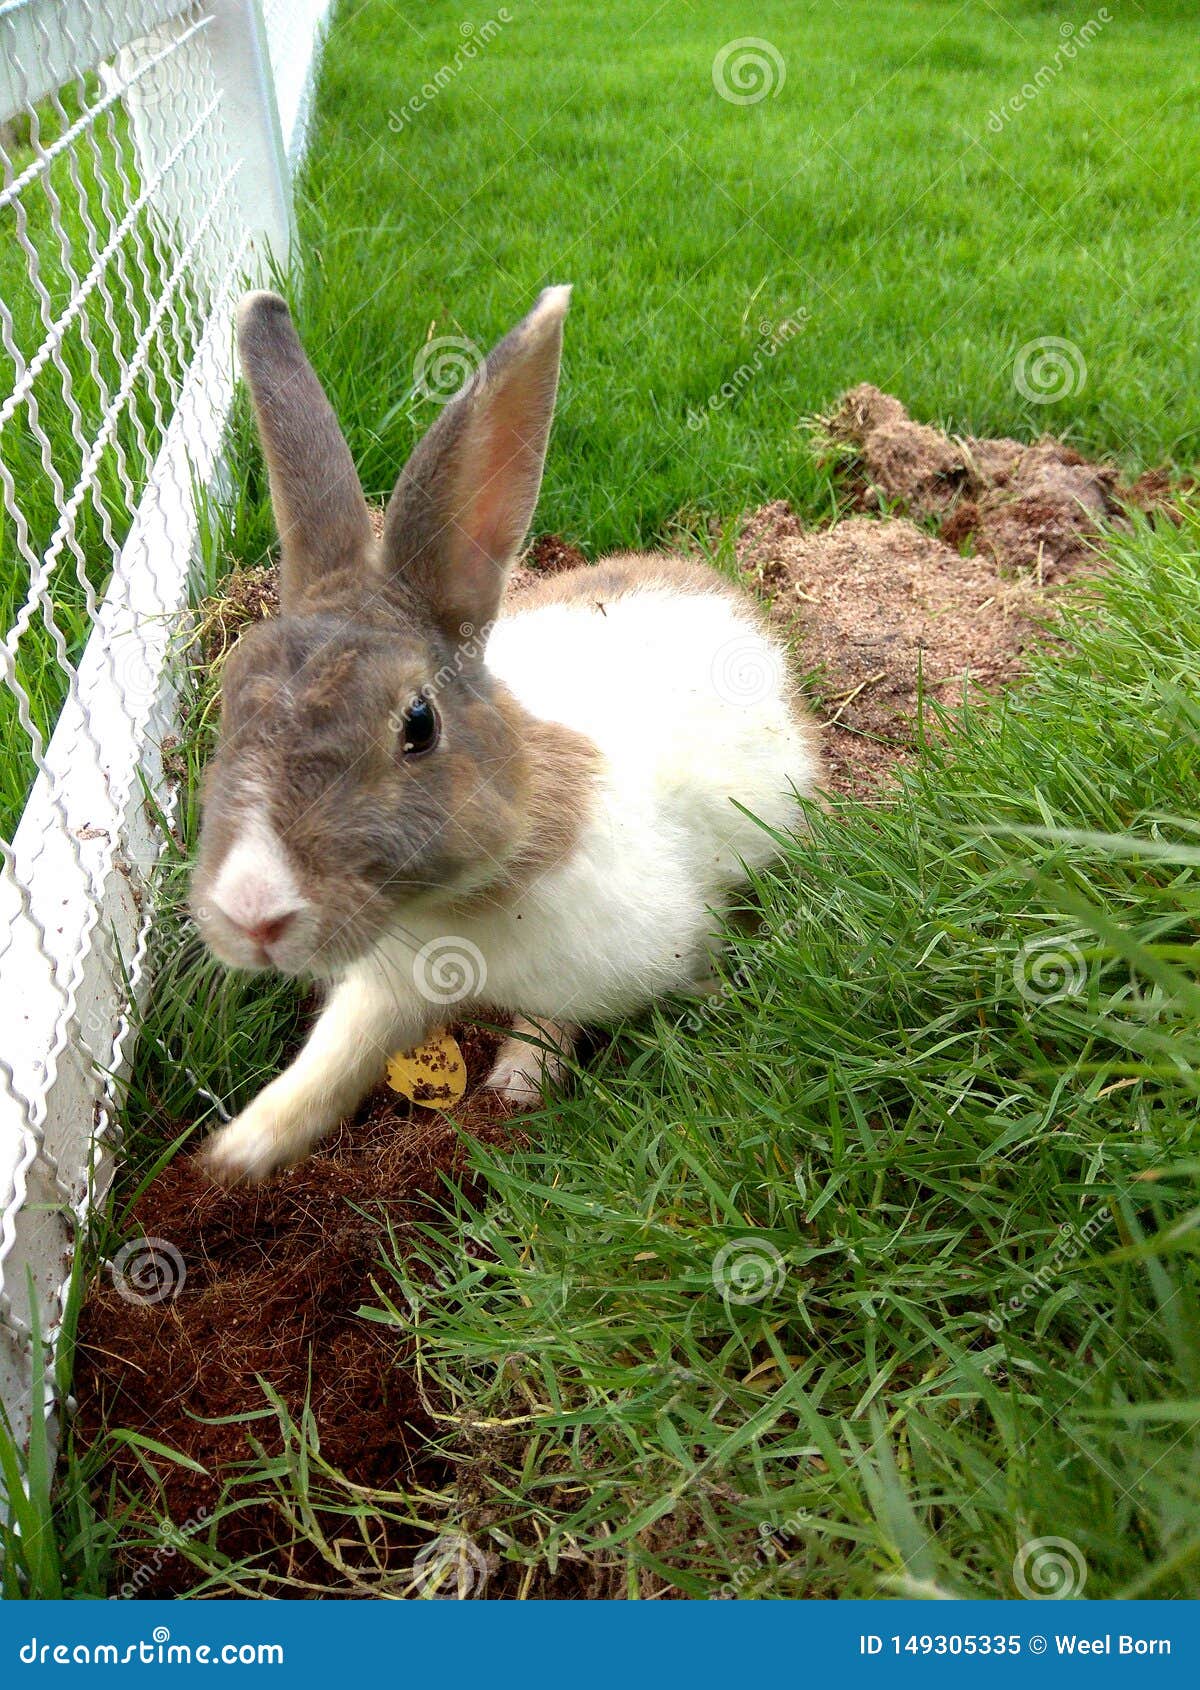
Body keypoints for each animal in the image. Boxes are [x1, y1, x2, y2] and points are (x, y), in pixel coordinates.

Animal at [191, 285, 820, 1183]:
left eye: (418, 724)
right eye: (231, 696)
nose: (252, 914)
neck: (455, 909)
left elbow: (557, 1019)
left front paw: (517, 1084)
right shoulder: (386, 990)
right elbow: (336, 1056)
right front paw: (240, 1151)